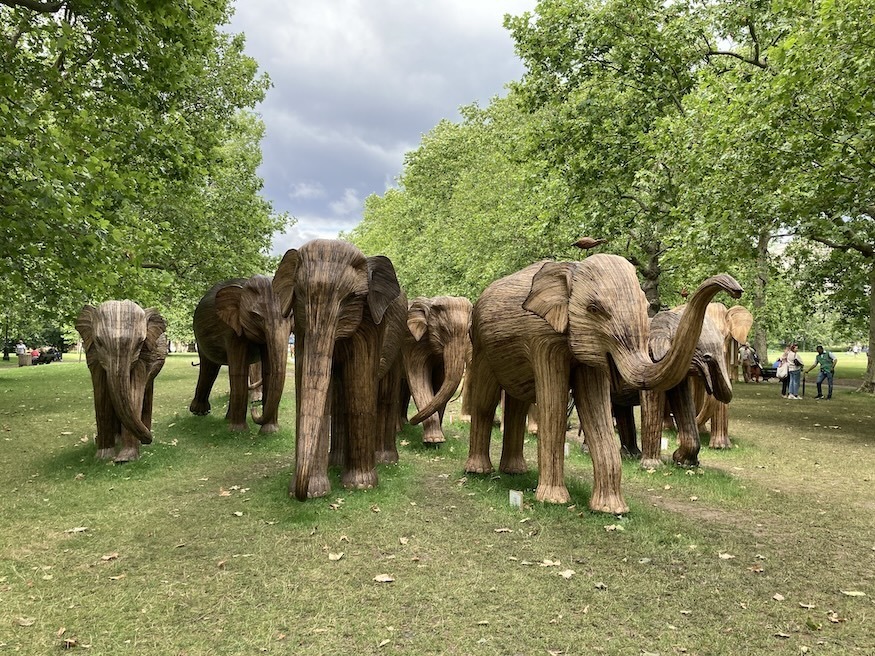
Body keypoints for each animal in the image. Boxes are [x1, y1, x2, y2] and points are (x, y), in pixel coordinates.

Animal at [76, 300, 169, 463]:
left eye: (140, 343)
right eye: (99, 341)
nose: (148, 438)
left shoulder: (144, 356)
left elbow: (134, 392)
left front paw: (125, 459)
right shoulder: (93, 355)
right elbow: (101, 397)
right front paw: (103, 456)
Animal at [189, 274, 292, 434]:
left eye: (291, 315)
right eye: (256, 316)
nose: (254, 409)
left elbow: (268, 370)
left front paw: (270, 431)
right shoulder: (231, 330)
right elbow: (239, 371)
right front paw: (238, 431)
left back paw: (227, 418)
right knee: (209, 368)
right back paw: (200, 412)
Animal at [272, 239, 407, 501]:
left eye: (353, 296)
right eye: (300, 294)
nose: (299, 496)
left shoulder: (369, 324)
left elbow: (360, 392)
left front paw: (361, 486)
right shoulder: (302, 327)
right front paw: (314, 492)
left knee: (384, 396)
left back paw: (386, 461)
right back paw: (335, 462)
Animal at [404, 295, 473, 445]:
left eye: (468, 331)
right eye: (442, 329)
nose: (413, 420)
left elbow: (440, 382)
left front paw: (439, 440)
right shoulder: (412, 342)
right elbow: (418, 378)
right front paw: (433, 441)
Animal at [463, 253, 742, 513]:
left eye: (645, 306)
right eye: (594, 309)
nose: (735, 288)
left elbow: (596, 409)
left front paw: (612, 509)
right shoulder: (544, 338)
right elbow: (554, 404)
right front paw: (554, 501)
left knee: (518, 406)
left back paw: (515, 471)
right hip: (481, 347)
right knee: (485, 403)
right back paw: (479, 472)